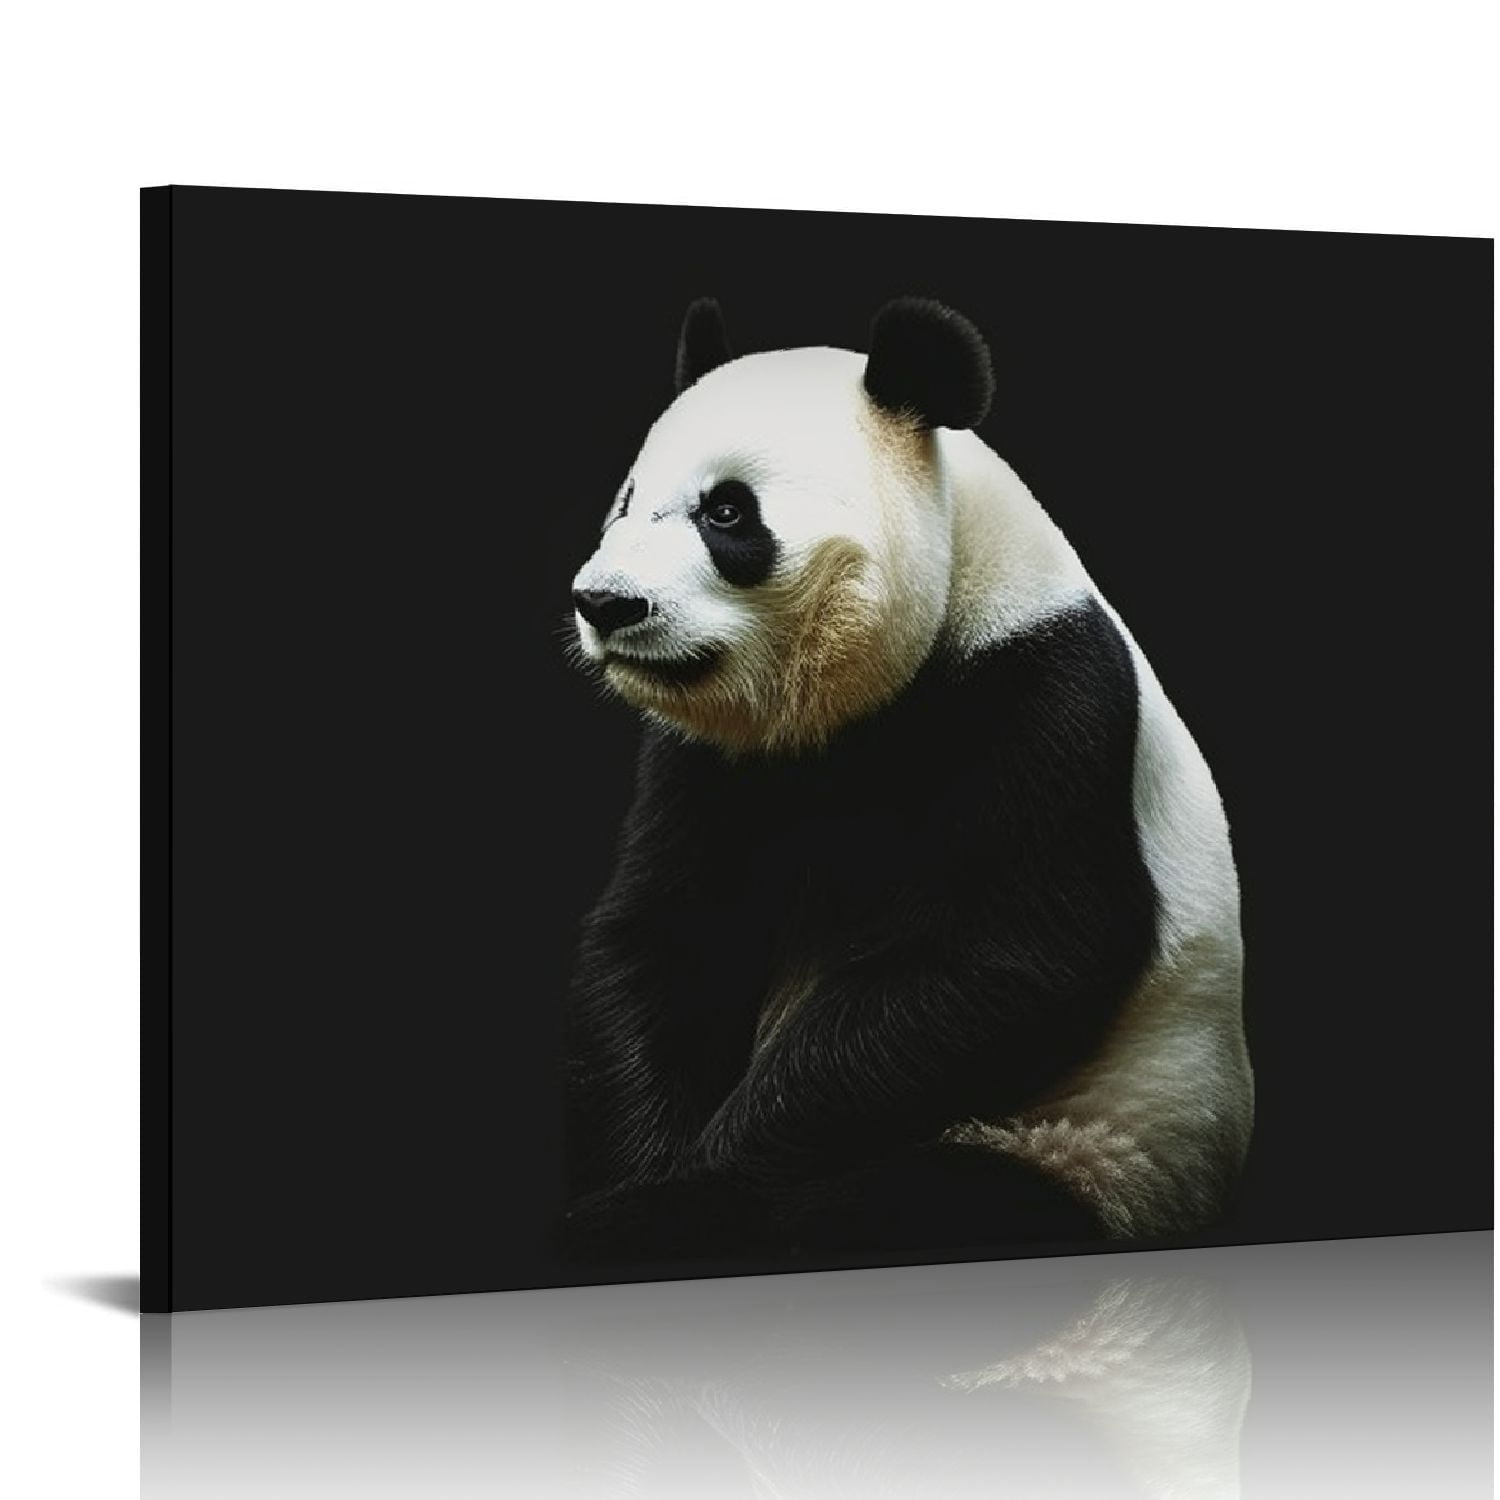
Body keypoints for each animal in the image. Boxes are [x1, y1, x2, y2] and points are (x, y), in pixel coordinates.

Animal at [563, 296, 1253, 1260]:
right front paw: (640, 1175)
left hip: (1091, 1138)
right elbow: (670, 932)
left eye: (728, 512)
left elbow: (1016, 952)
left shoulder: (1042, 704)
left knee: (925, 1200)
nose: (606, 604)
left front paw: (677, 1199)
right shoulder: (713, 764)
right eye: (628, 501)